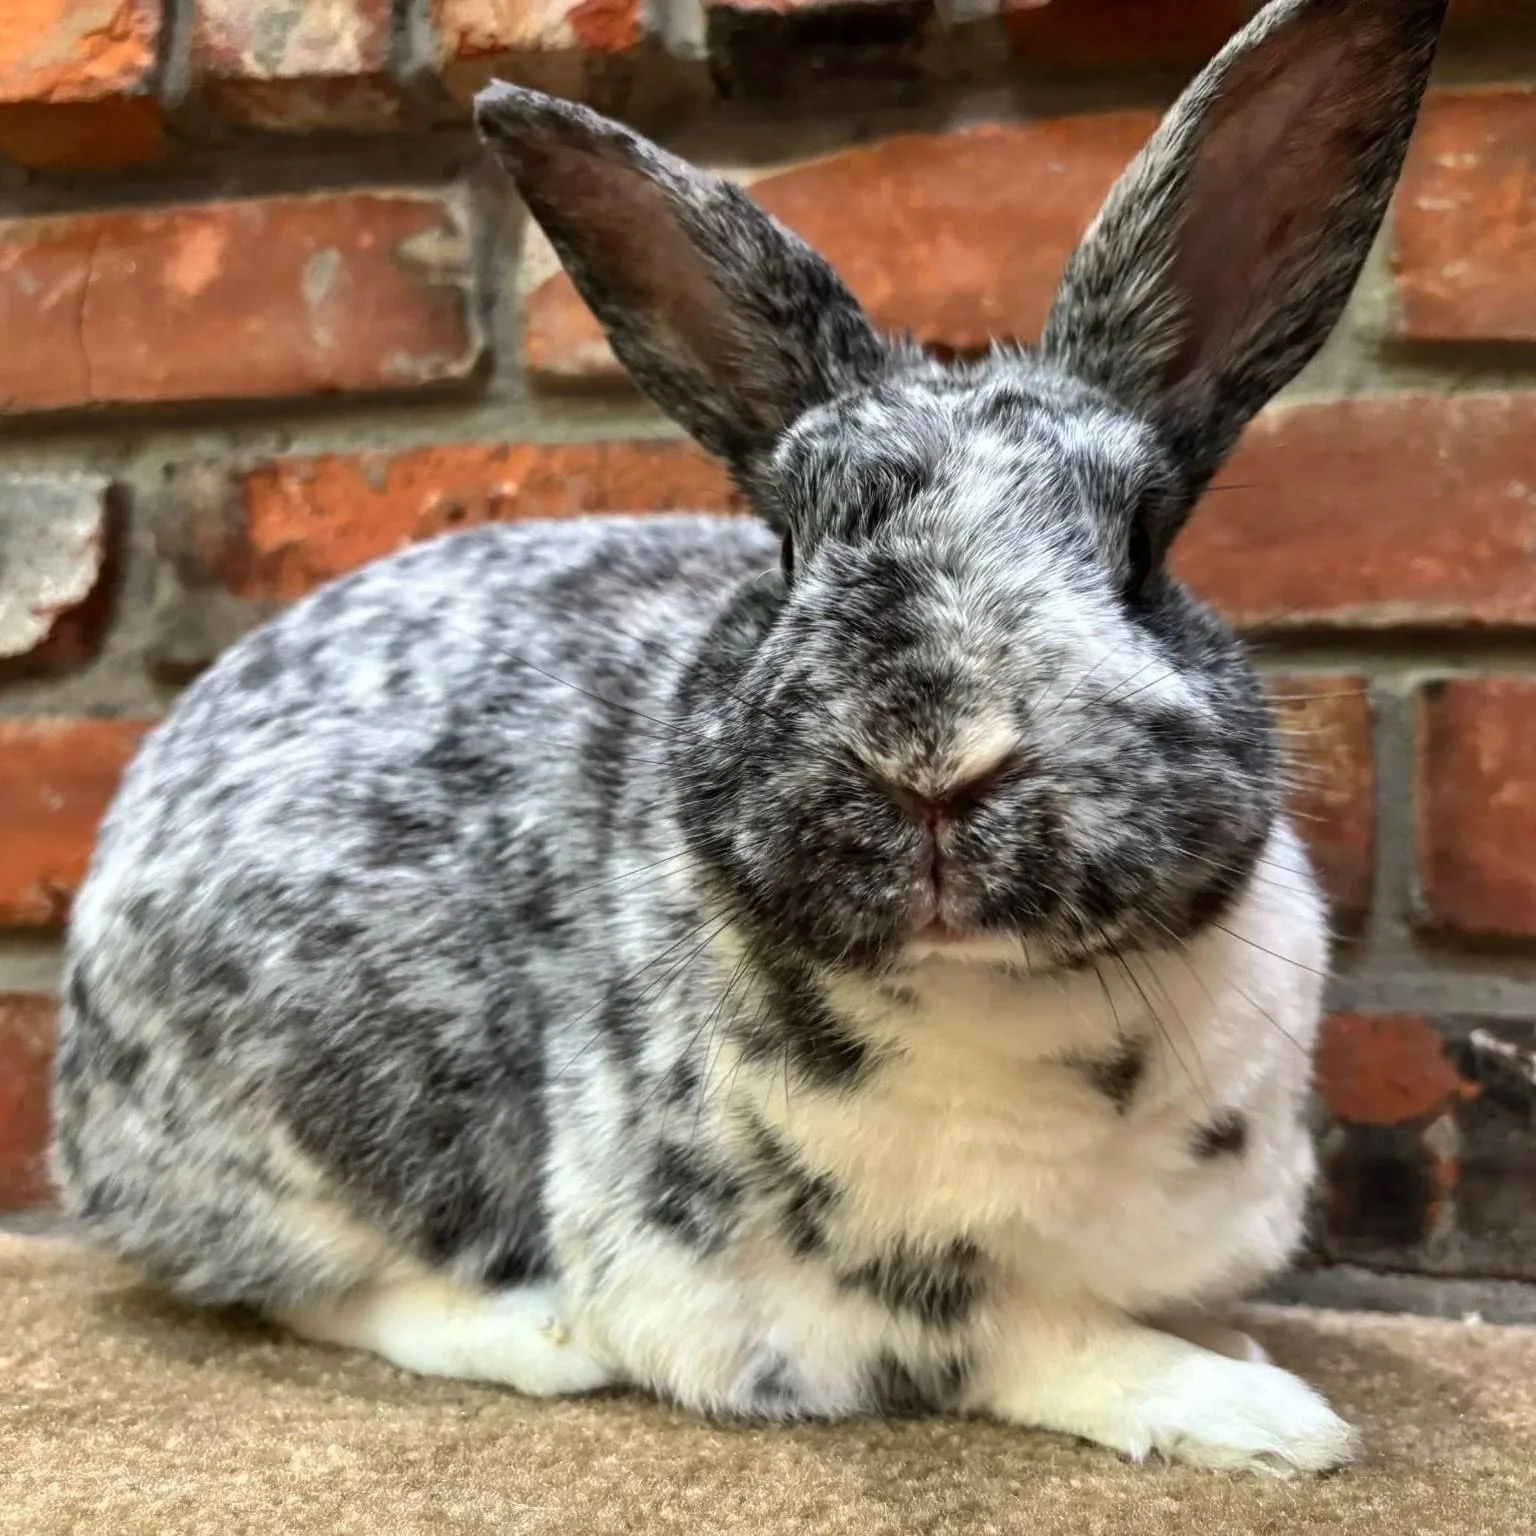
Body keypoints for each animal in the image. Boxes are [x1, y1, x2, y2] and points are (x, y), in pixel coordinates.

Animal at [51, 0, 1445, 1476]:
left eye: (1142, 547)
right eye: (787, 545)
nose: (929, 756)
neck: (1003, 994)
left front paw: (1243, 1353)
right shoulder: (811, 1303)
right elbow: (1033, 1341)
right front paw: (1263, 1417)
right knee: (305, 1282)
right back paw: (539, 1337)